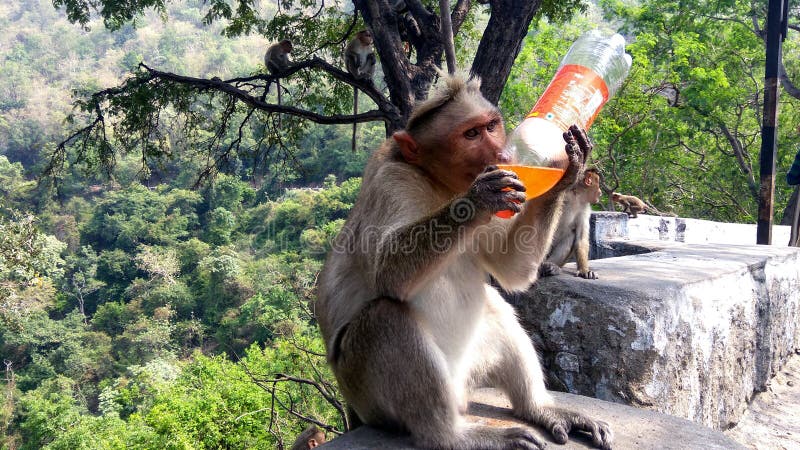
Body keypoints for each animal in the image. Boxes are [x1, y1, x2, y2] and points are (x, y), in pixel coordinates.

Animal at [315, 74, 612, 450]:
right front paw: (480, 197)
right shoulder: (391, 181)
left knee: (496, 307)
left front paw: (569, 165)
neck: (439, 184)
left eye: (491, 126)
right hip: (369, 397)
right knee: (385, 317)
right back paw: (453, 436)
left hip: (470, 365)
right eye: (471, 134)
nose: (500, 153)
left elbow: (511, 268)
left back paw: (539, 408)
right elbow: (387, 273)